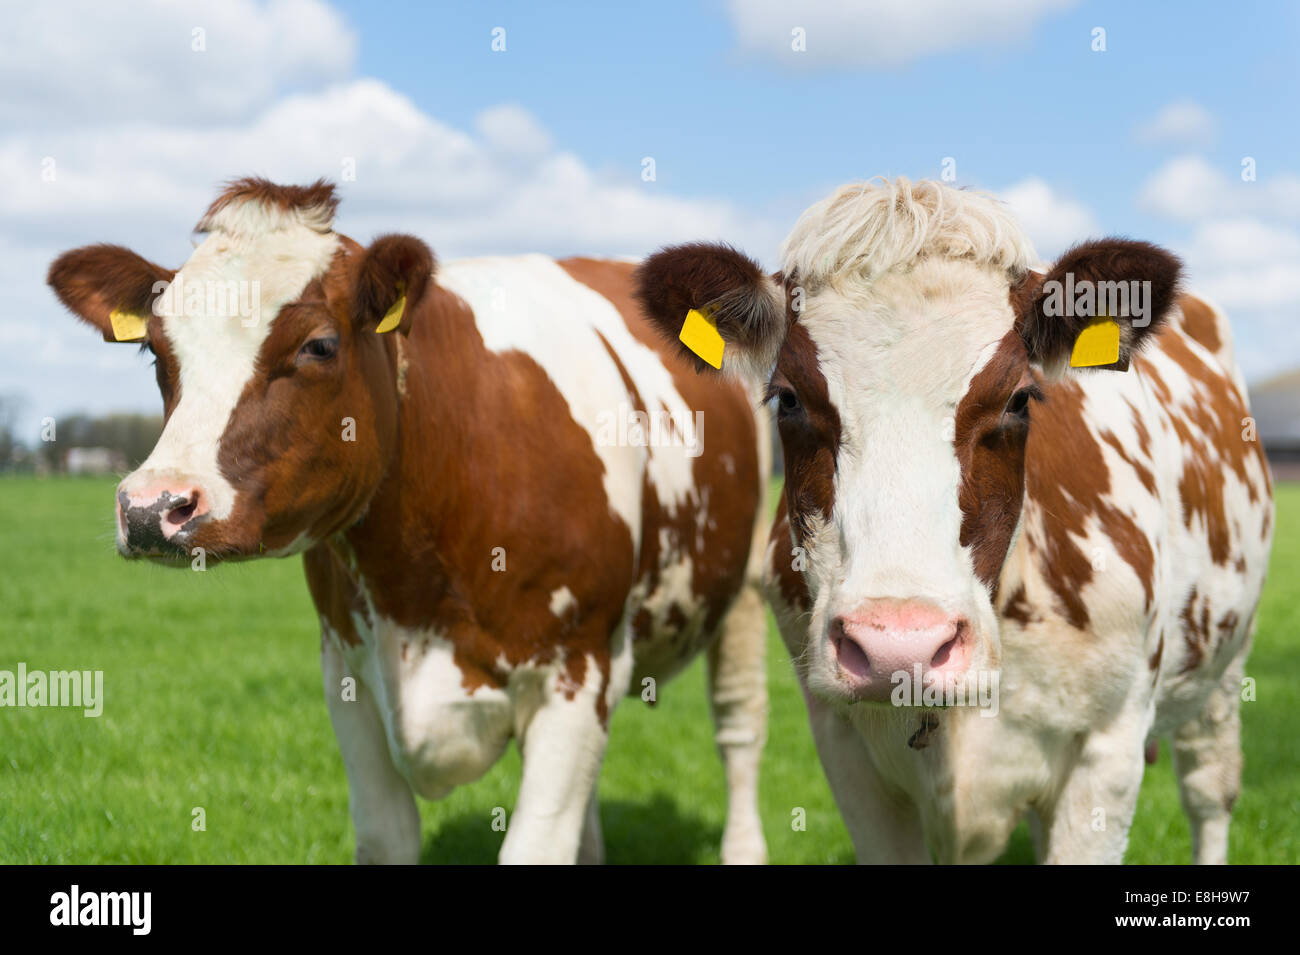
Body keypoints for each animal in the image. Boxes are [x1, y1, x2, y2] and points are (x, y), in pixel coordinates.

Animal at [47, 177, 771, 865]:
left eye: (319, 345)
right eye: (155, 352)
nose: (151, 508)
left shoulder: (578, 664)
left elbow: (534, 846)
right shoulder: (347, 672)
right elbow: (388, 836)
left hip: (745, 585)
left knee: (738, 730)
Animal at [636, 177, 1274, 864]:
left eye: (1020, 398)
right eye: (788, 399)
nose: (900, 647)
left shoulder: (1110, 749)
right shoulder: (845, 749)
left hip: (1222, 675)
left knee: (1210, 793)